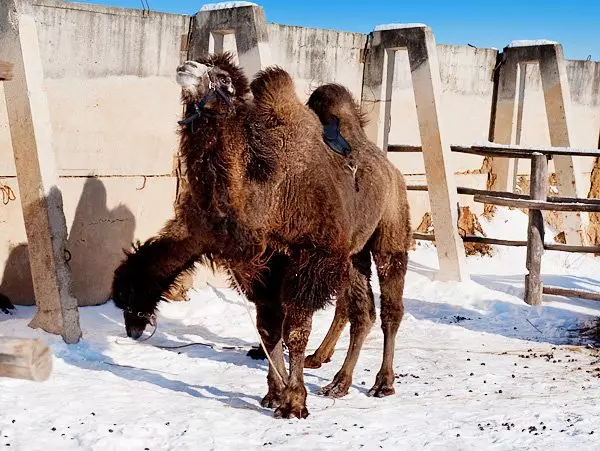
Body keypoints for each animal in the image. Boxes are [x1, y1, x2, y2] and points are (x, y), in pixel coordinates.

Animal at [111, 53, 412, 420]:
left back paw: (383, 383)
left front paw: (294, 402)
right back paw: (338, 383)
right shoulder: (260, 264)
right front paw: (273, 393)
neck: (267, 196)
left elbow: (295, 331)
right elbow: (269, 330)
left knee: (390, 308)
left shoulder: (311, 257)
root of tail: (388, 165)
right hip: (352, 253)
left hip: (389, 231)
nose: (186, 66)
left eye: (224, 79)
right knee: (361, 312)